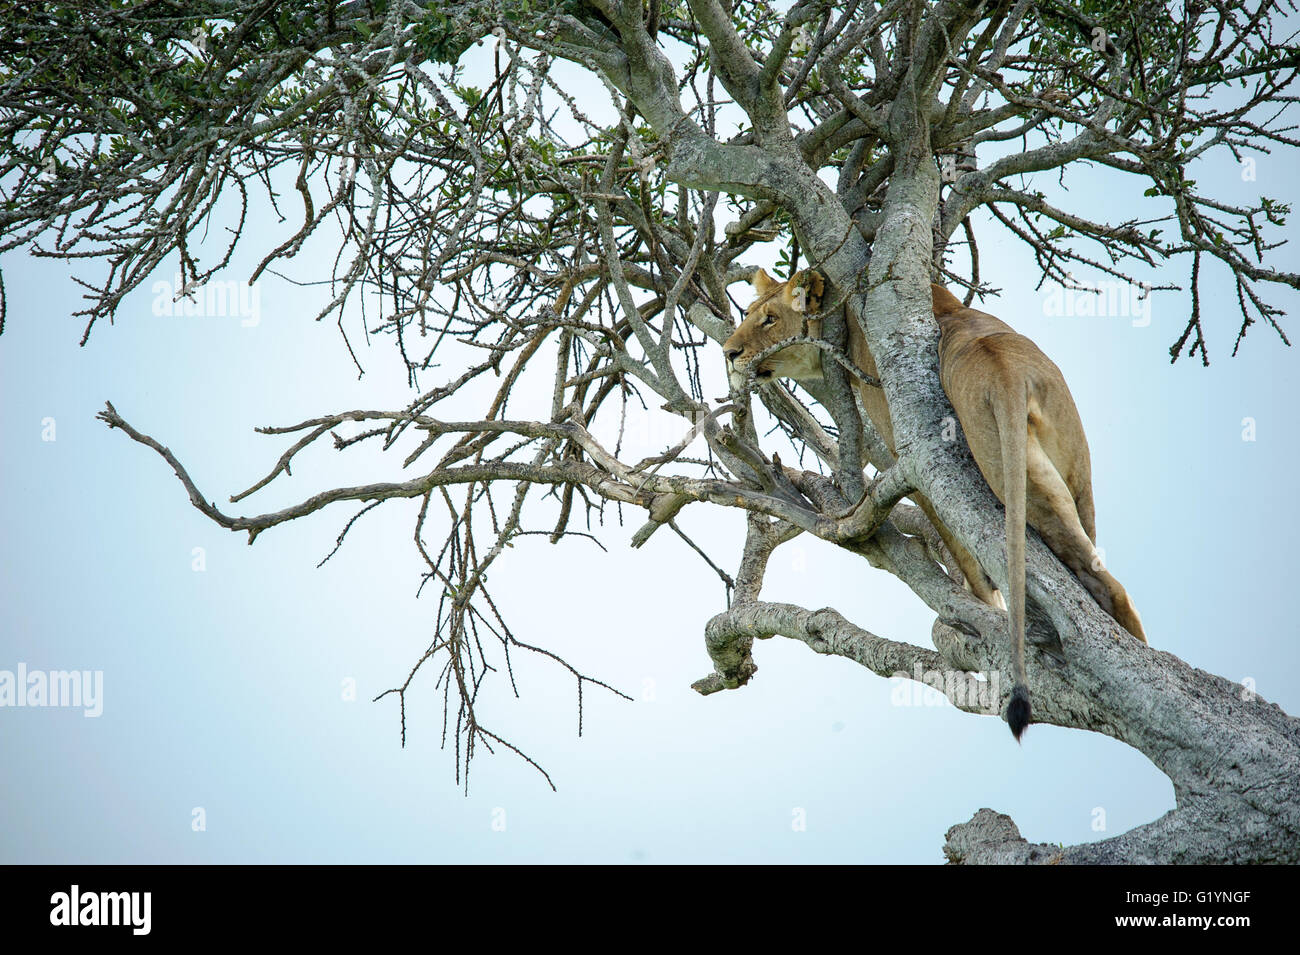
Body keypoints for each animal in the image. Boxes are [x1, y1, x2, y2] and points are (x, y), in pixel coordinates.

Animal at [723, 270, 1146, 739]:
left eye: (769, 319)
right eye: (749, 314)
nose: (728, 352)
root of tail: (1007, 371)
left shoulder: (911, 455)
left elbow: (959, 550)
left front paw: (984, 607)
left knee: (1103, 584)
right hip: (1076, 470)